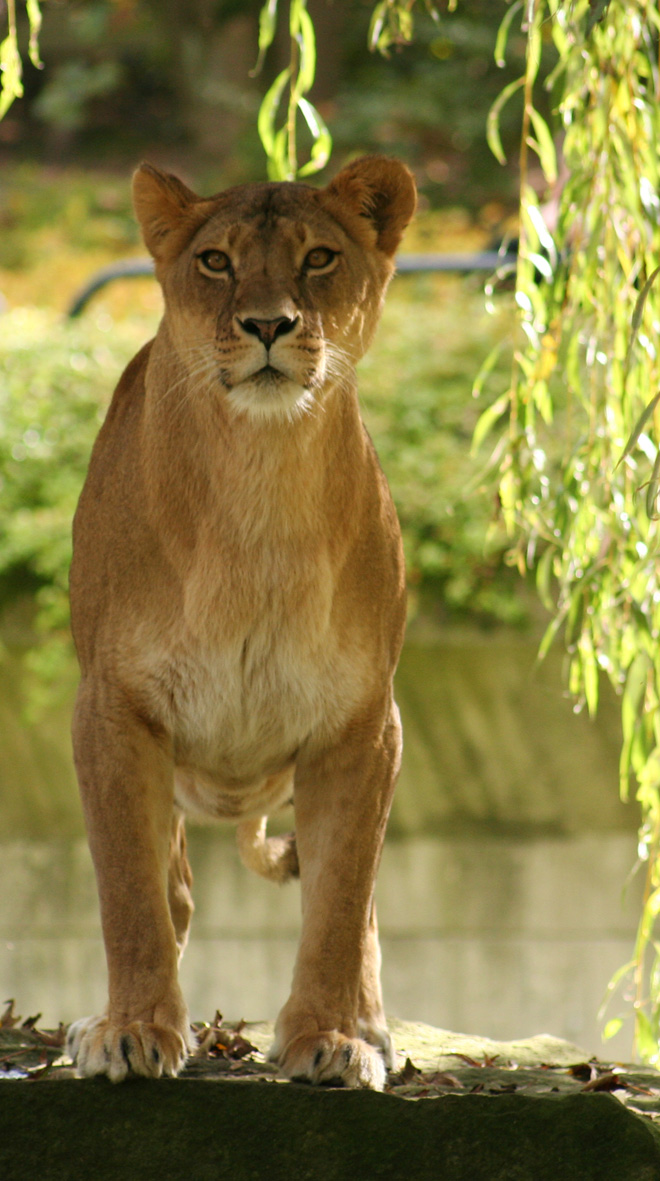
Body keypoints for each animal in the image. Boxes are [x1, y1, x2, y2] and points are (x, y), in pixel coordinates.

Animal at [65, 155, 416, 1090]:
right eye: (216, 261)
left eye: (320, 257)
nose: (266, 324)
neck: (262, 480)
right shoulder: (111, 708)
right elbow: (129, 893)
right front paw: (131, 1029)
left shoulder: (363, 724)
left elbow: (340, 900)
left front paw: (332, 1036)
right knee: (176, 892)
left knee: (363, 904)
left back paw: (372, 1026)